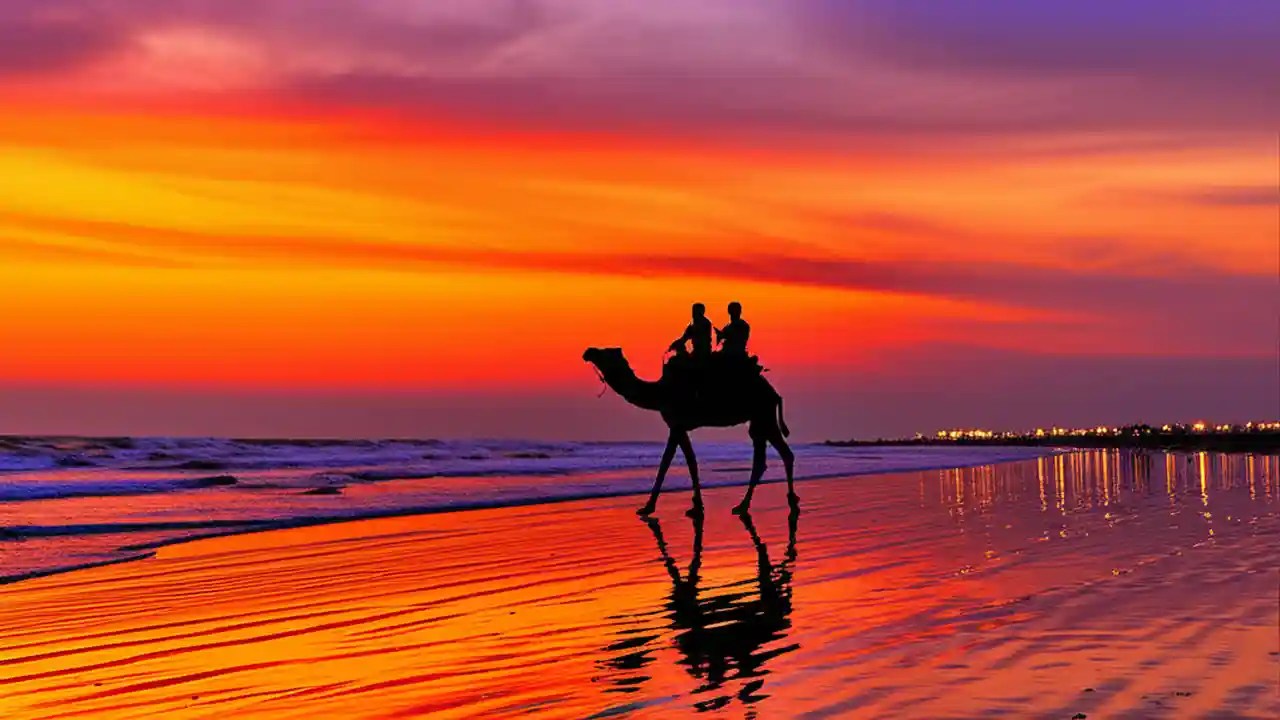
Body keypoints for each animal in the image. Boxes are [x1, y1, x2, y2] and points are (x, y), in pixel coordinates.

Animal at [583, 347, 796, 516]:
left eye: (605, 352)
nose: (588, 351)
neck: (660, 392)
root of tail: (774, 393)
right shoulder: (680, 427)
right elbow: (691, 461)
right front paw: (696, 506)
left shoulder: (676, 425)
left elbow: (665, 463)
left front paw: (648, 507)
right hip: (759, 418)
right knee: (766, 457)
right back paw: (749, 505)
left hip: (763, 415)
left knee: (779, 455)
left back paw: (776, 503)